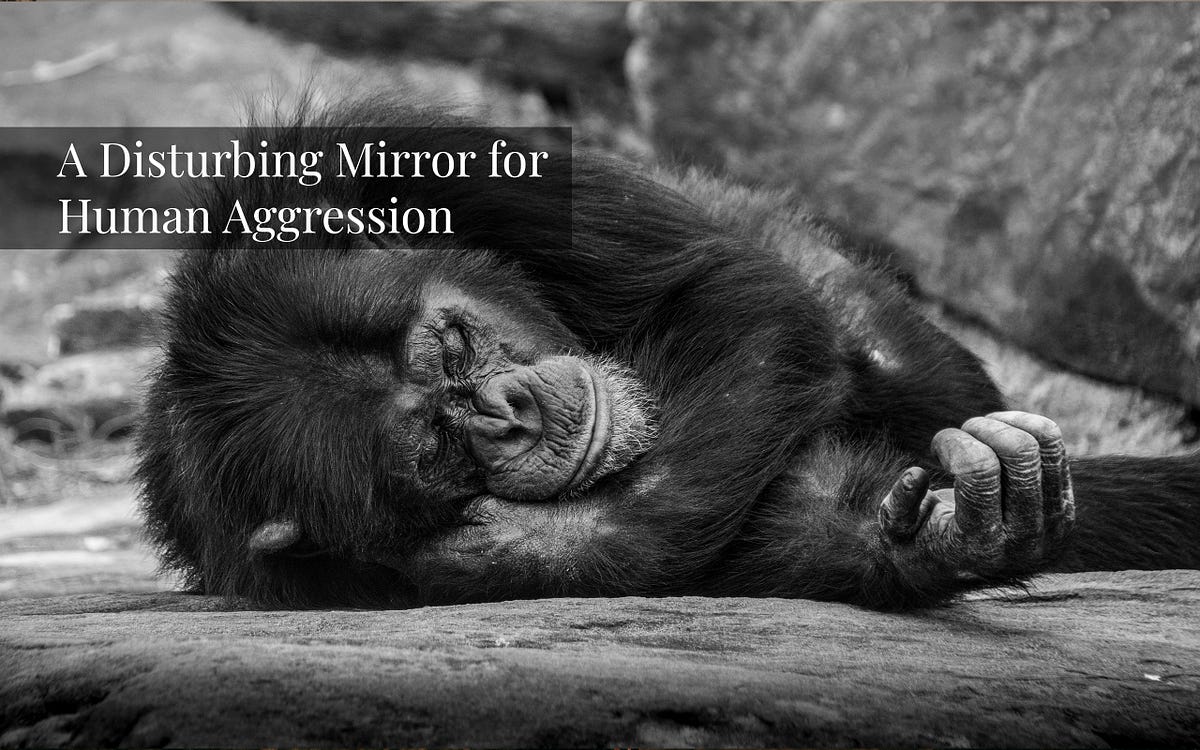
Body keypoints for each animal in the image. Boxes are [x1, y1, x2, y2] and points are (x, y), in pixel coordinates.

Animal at [136, 101, 1200, 609]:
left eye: (452, 344)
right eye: (437, 448)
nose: (507, 410)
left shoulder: (384, 148)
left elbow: (721, 288)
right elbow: (784, 525)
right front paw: (939, 531)